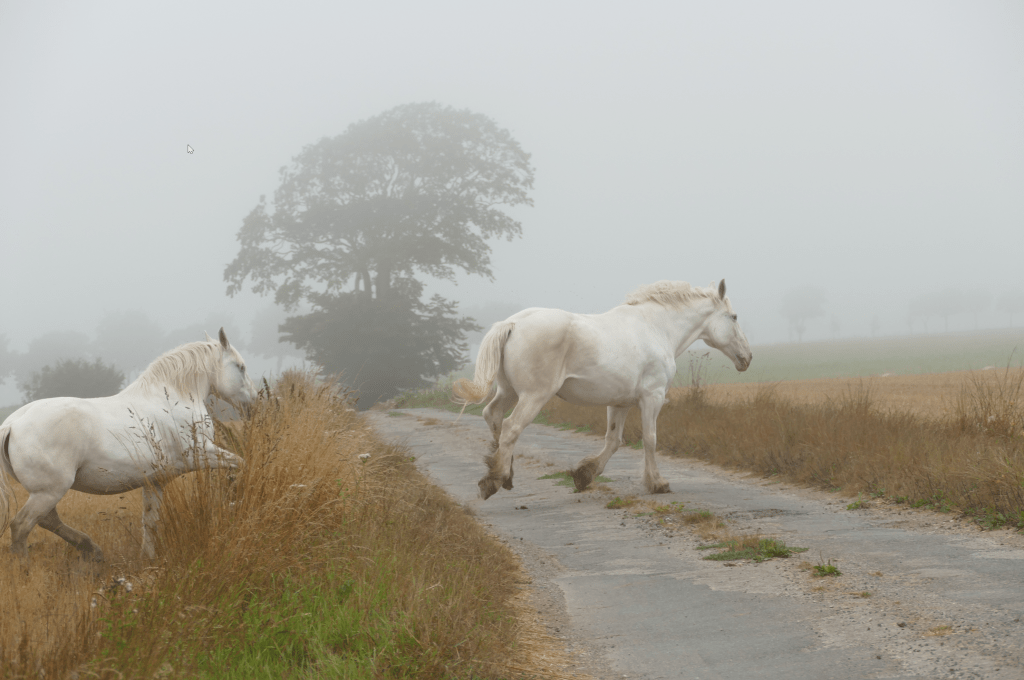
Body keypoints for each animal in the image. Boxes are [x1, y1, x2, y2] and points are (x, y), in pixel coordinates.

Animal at [0, 328, 257, 561]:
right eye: (241, 367)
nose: (253, 404)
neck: (172, 398)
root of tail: (12, 424)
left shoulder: (156, 481)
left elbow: (150, 520)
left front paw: (148, 559)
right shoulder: (201, 454)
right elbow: (241, 464)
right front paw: (235, 495)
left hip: (45, 493)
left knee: (48, 521)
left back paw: (92, 550)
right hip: (49, 491)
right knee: (22, 526)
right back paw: (27, 568)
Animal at [453, 280, 752, 500]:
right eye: (734, 316)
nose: (747, 358)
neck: (657, 328)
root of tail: (512, 324)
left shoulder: (620, 403)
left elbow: (613, 441)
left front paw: (584, 475)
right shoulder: (652, 398)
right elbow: (650, 439)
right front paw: (657, 483)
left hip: (508, 391)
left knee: (492, 416)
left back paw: (506, 475)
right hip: (533, 396)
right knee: (511, 427)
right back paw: (494, 481)